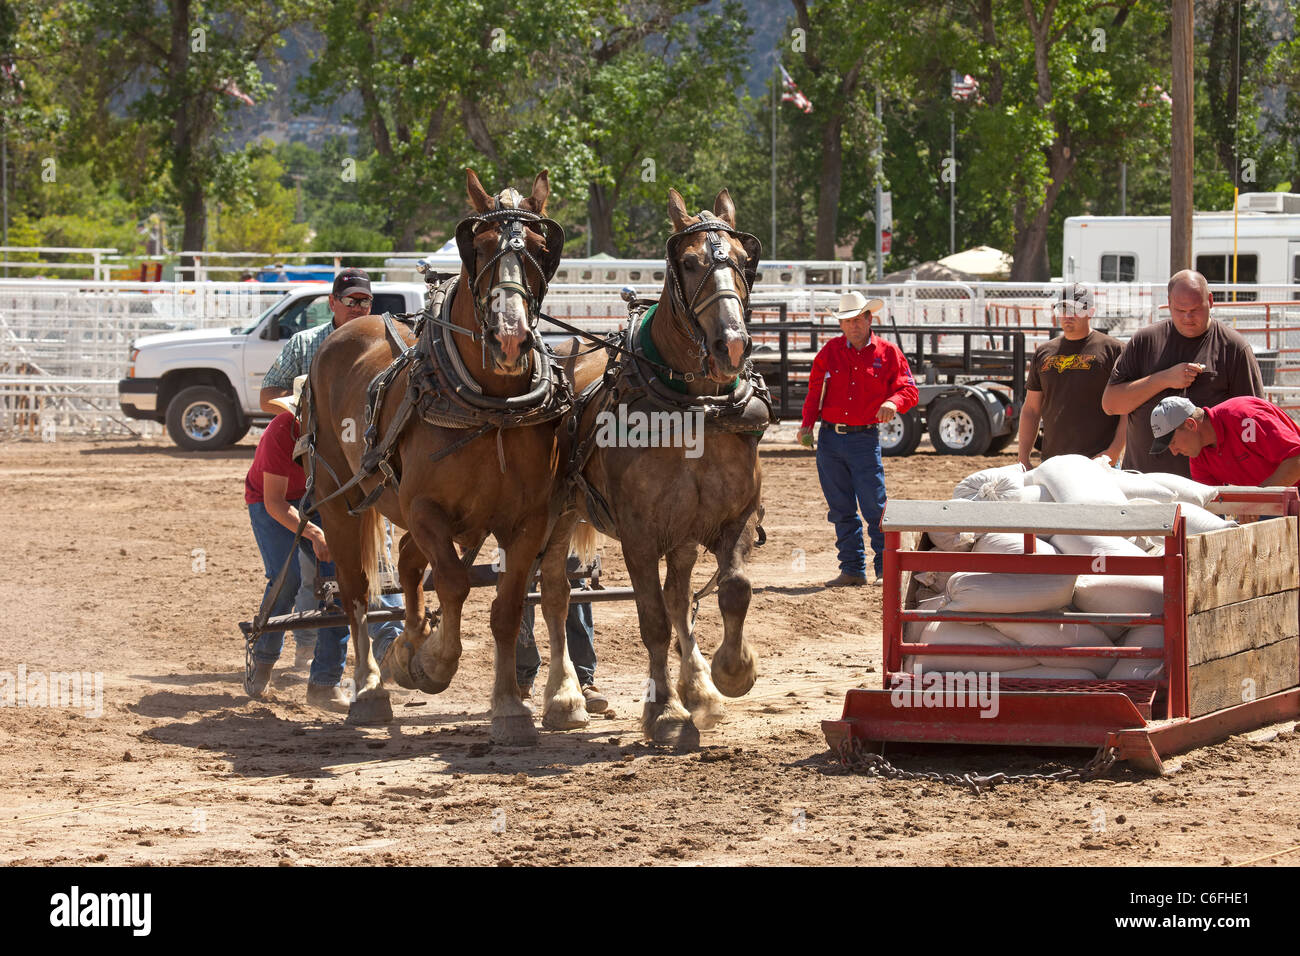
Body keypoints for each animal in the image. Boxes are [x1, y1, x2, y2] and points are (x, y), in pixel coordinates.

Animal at [306, 168, 590, 745]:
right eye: (477, 246)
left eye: (541, 247)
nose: (510, 338)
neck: (491, 410)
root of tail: (347, 328)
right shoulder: (426, 510)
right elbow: (454, 581)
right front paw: (435, 663)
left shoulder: (527, 520)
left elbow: (506, 607)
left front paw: (509, 707)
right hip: (338, 499)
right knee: (357, 592)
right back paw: (370, 690)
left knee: (409, 561)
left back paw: (405, 649)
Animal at [534, 187, 772, 745]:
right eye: (689, 262)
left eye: (745, 260)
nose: (732, 344)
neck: (696, 408)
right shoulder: (639, 536)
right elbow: (654, 621)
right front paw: (664, 711)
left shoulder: (735, 519)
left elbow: (733, 589)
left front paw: (731, 673)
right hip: (557, 515)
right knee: (555, 592)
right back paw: (564, 698)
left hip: (679, 535)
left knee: (679, 595)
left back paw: (700, 688)